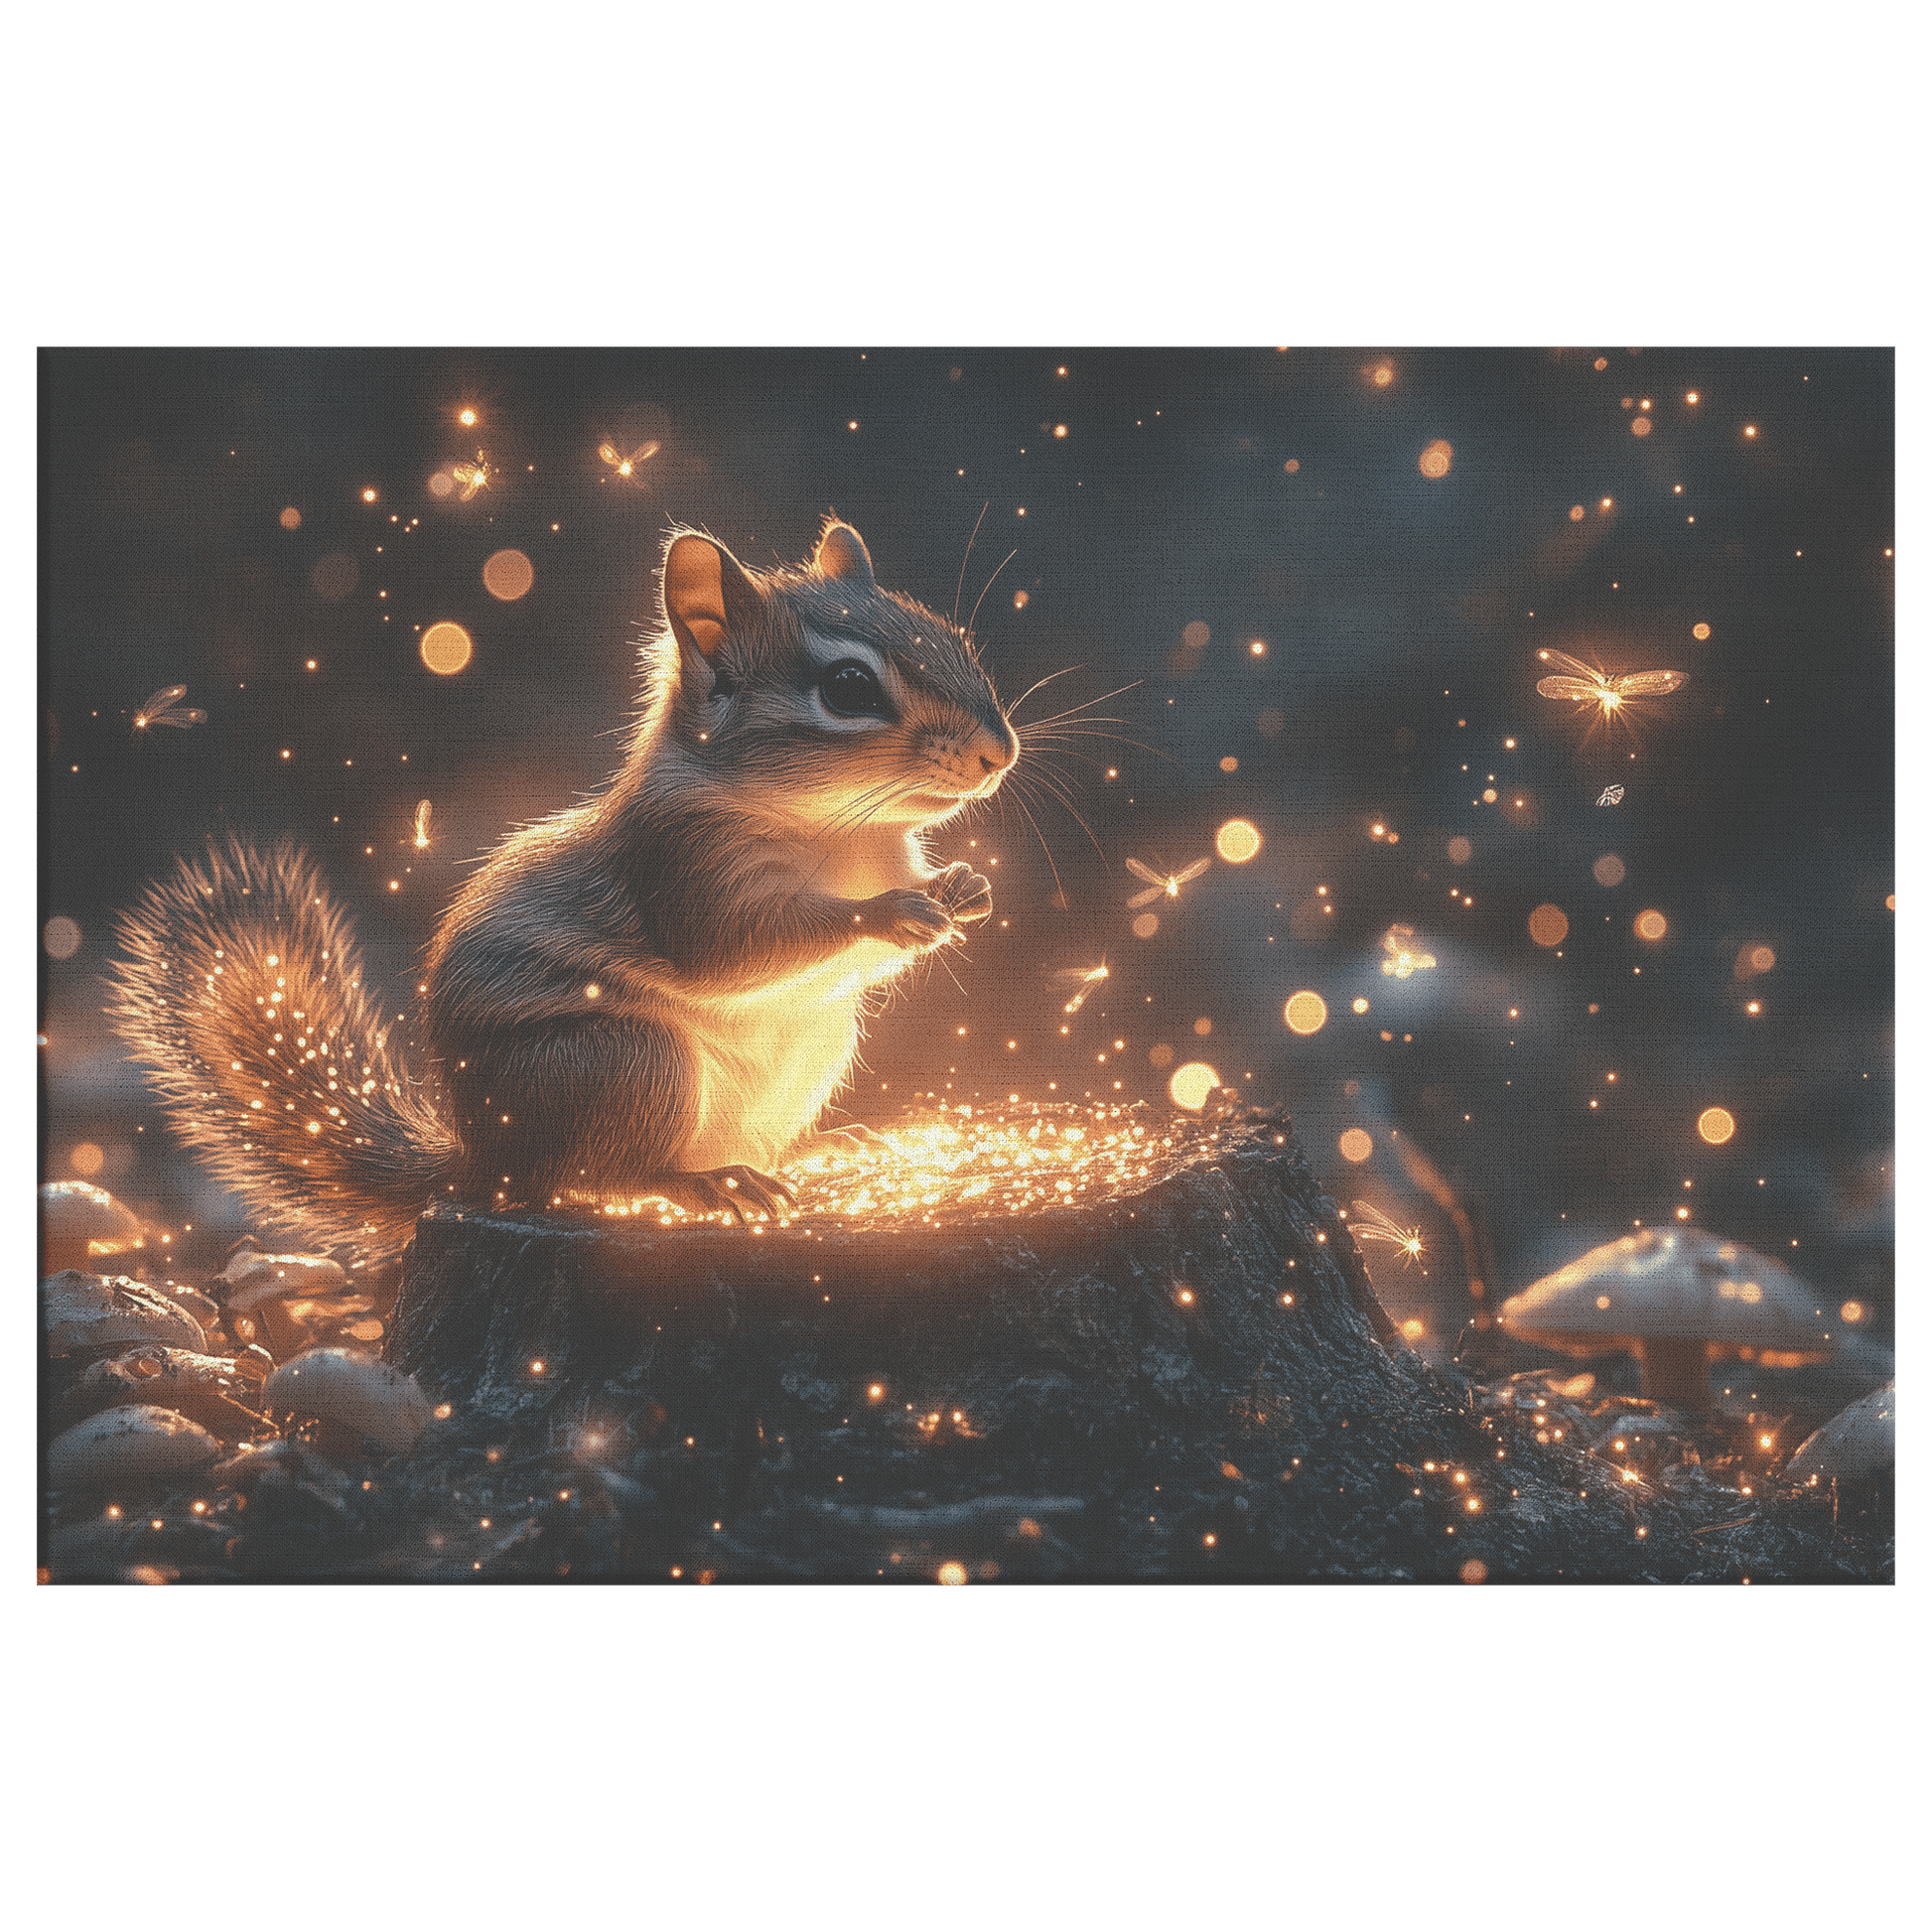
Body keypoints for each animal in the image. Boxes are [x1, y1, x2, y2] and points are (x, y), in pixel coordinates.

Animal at [110, 518, 1018, 1265]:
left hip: (813, 1048)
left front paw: (963, 887)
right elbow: (734, 952)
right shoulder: (680, 867)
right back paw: (699, 1182)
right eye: (849, 689)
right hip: (626, 1063)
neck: (840, 830)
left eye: (955, 638)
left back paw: (810, 1153)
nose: (998, 753)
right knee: (590, 1177)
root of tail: (477, 1160)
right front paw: (888, 911)